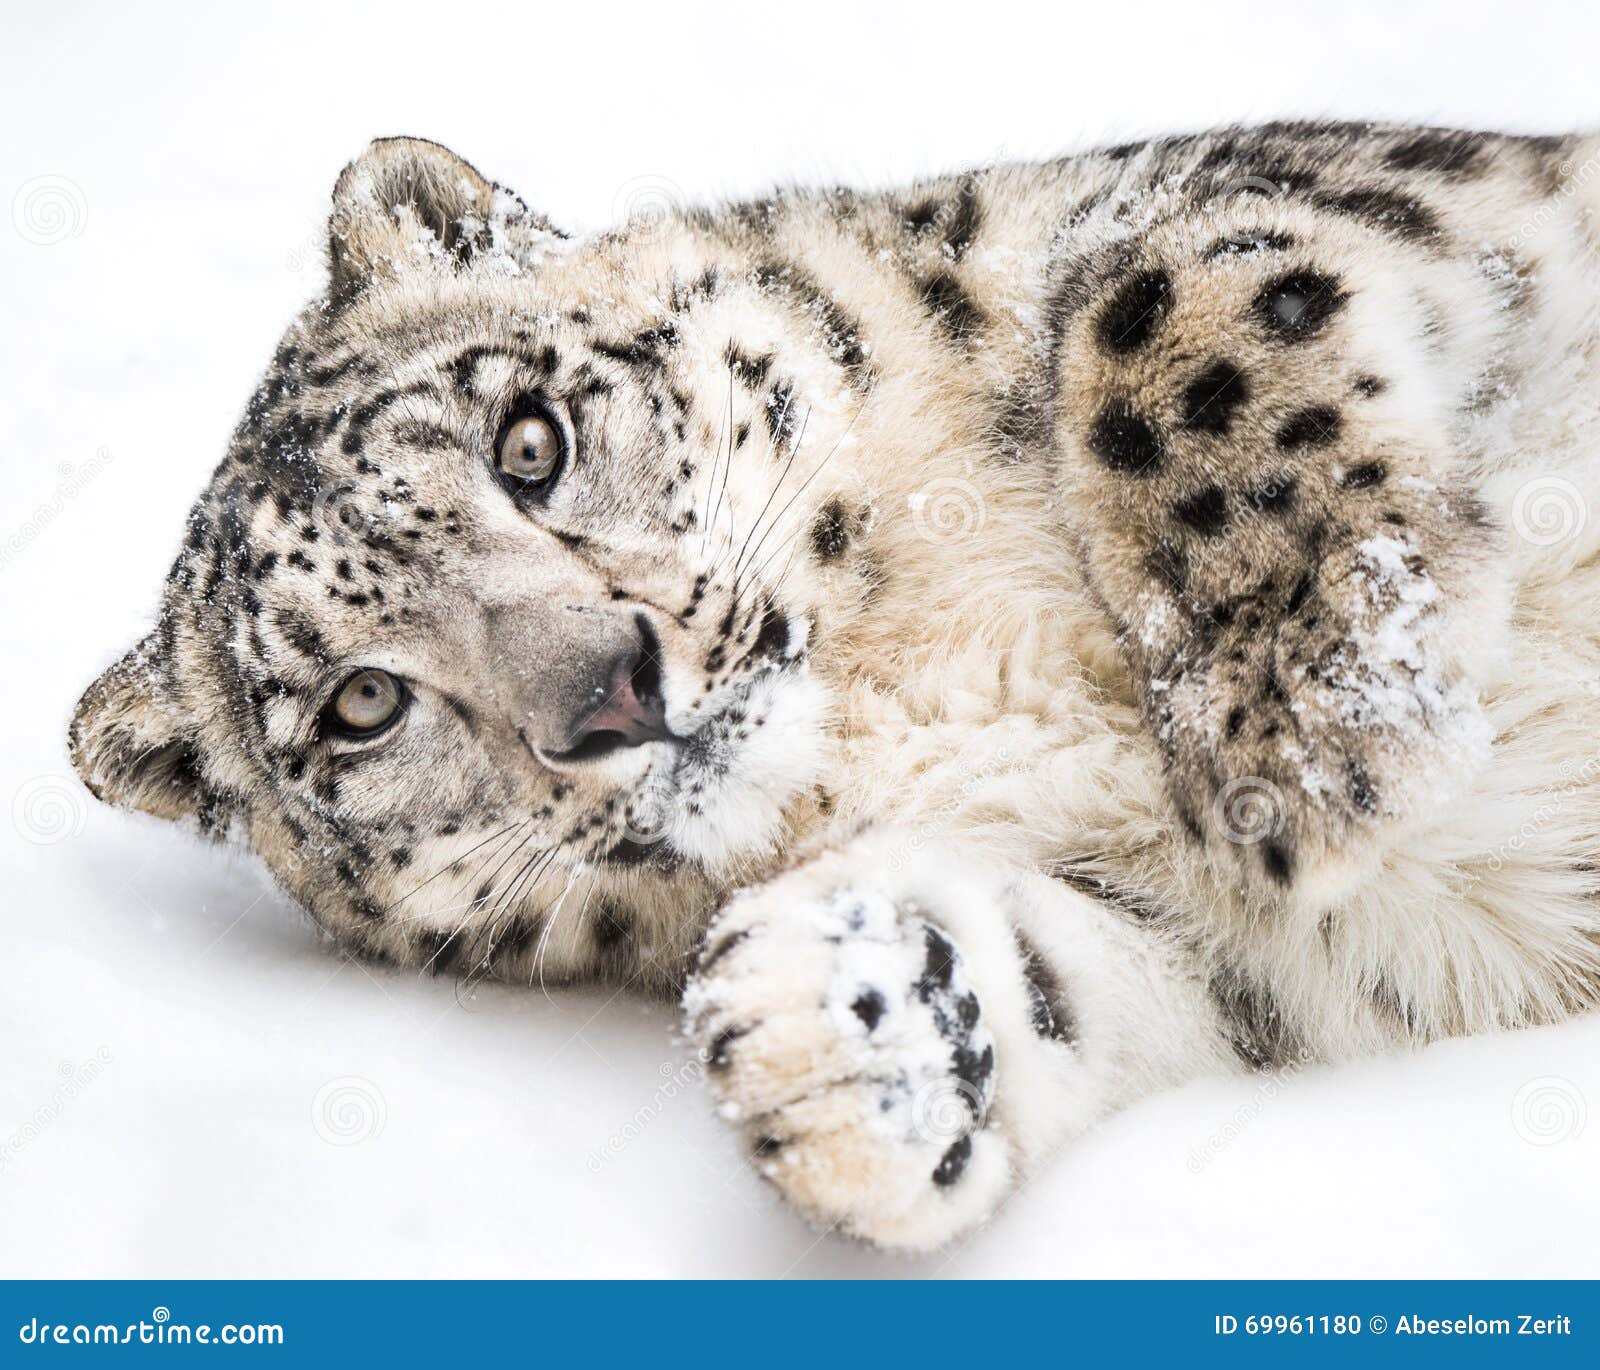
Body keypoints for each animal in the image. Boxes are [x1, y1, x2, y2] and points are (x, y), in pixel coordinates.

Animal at [70, 123, 1600, 1251]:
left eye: (528, 441)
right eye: (361, 705)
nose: (612, 690)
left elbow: (1159, 288)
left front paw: (1316, 701)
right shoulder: (1223, 934)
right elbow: (1075, 973)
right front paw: (851, 1025)